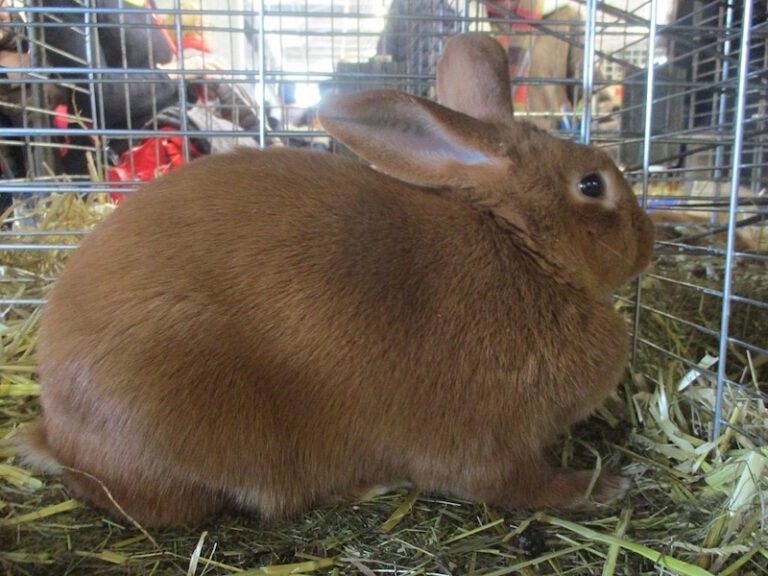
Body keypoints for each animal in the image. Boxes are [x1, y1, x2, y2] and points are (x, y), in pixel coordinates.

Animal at [15, 35, 654, 529]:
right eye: (592, 185)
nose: (650, 240)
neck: (521, 247)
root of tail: (59, 431)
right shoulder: (491, 441)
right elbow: (519, 485)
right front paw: (603, 487)